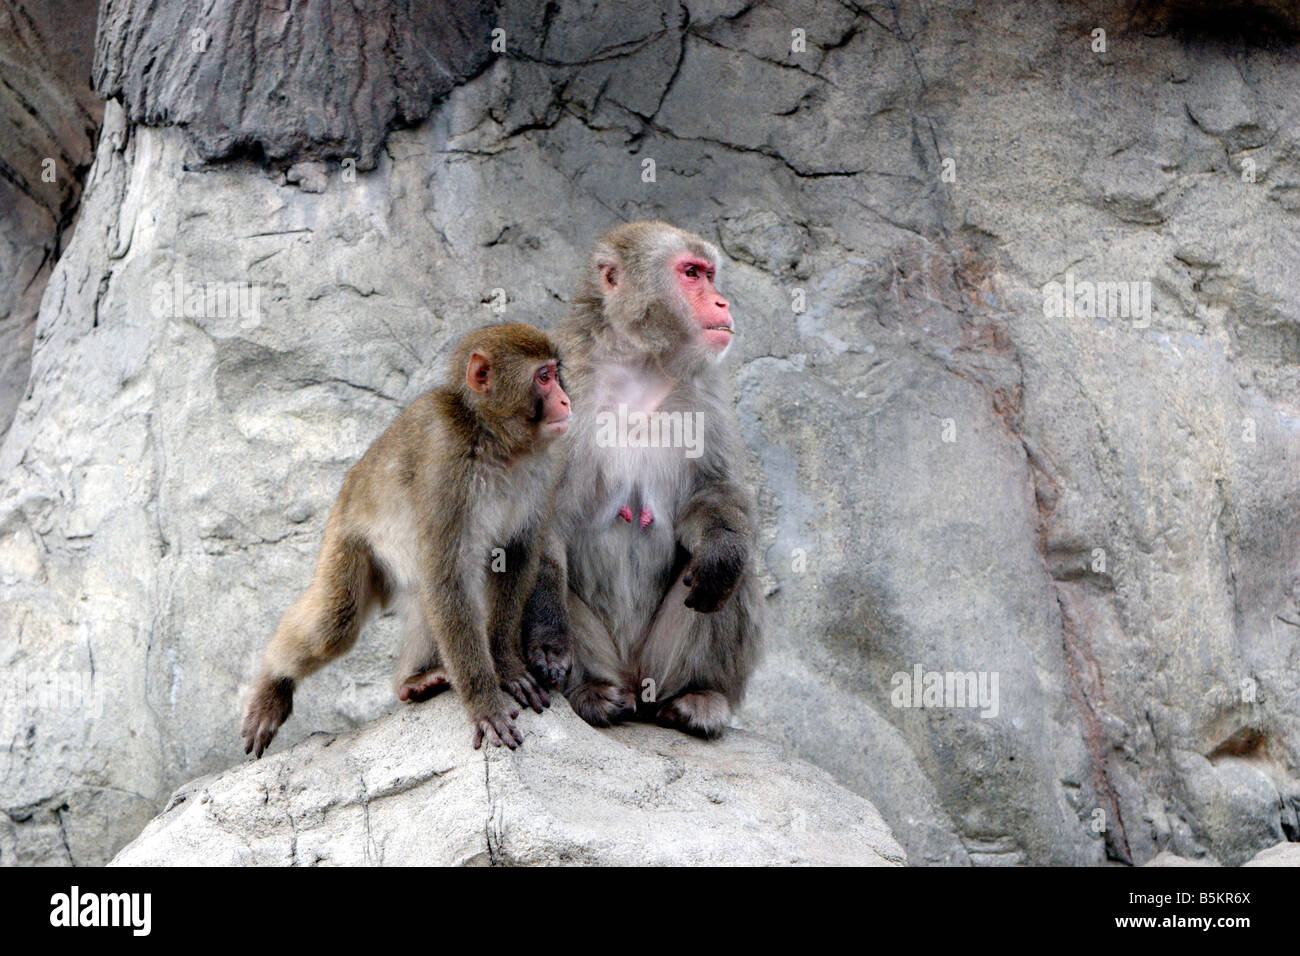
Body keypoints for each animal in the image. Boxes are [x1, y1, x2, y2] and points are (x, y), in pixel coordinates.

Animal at [241, 323, 572, 757]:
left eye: (555, 373)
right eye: (544, 377)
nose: (566, 401)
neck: (493, 440)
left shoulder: (544, 466)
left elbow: (514, 561)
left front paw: (506, 666)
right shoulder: (446, 462)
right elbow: (449, 577)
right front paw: (484, 703)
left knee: (422, 599)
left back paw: (413, 682)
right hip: (346, 537)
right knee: (336, 623)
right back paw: (272, 682)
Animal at [521, 221, 762, 739]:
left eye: (709, 273)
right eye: (691, 274)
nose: (722, 302)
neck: (638, 364)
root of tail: (633, 677)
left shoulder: (703, 393)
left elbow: (713, 495)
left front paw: (723, 549)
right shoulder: (558, 390)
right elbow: (535, 524)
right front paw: (548, 639)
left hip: (658, 663)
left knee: (737, 574)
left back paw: (698, 696)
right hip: (606, 656)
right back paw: (591, 693)